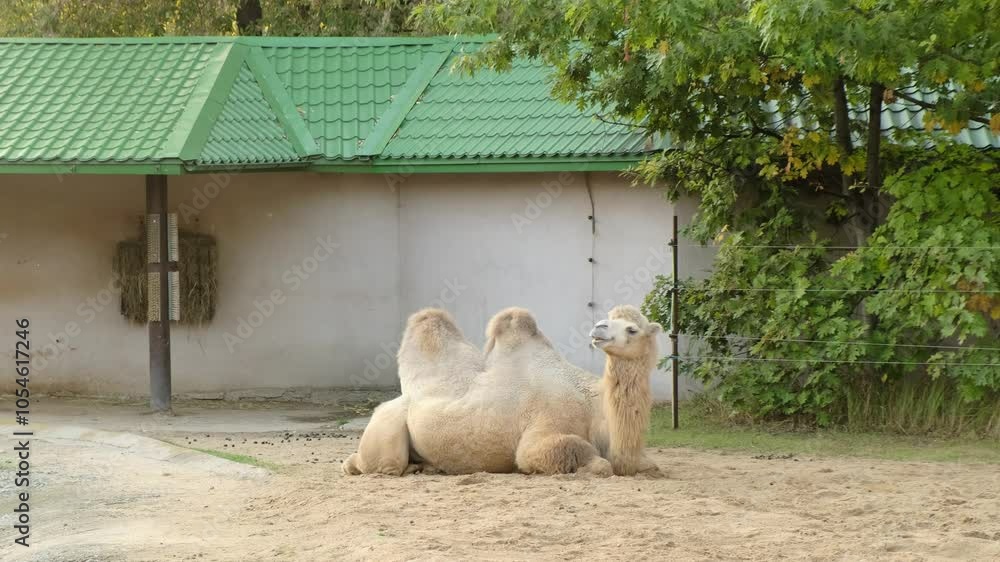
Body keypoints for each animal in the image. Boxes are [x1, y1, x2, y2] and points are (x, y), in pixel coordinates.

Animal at [342, 305, 662, 477]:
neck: (593, 405)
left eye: (632, 328)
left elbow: (648, 465)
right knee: (373, 464)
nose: (599, 327)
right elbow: (594, 461)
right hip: (386, 430)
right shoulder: (542, 434)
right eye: (610, 318)